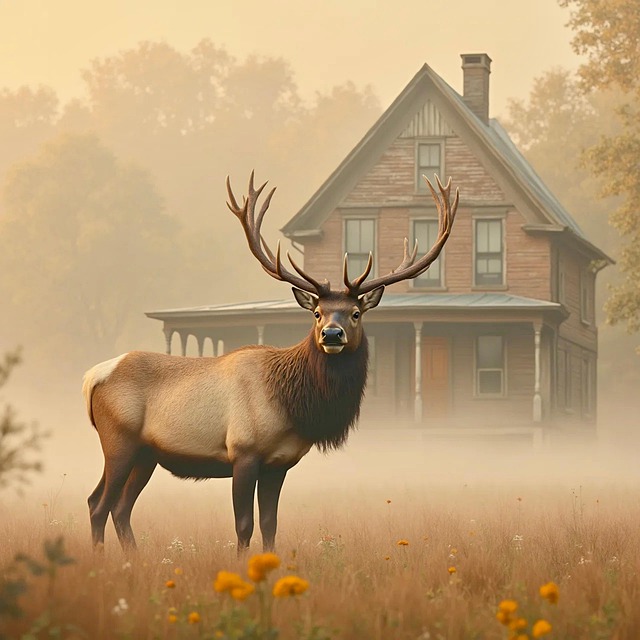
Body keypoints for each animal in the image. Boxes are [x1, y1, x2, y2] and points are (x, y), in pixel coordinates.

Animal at [82, 172, 458, 553]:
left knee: (118, 507)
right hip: (119, 441)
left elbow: (269, 524)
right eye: (317, 313)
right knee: (99, 503)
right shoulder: (243, 451)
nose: (332, 334)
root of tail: (92, 377)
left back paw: (132, 558)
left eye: (356, 313)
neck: (293, 405)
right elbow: (244, 525)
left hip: (146, 454)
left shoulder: (279, 464)